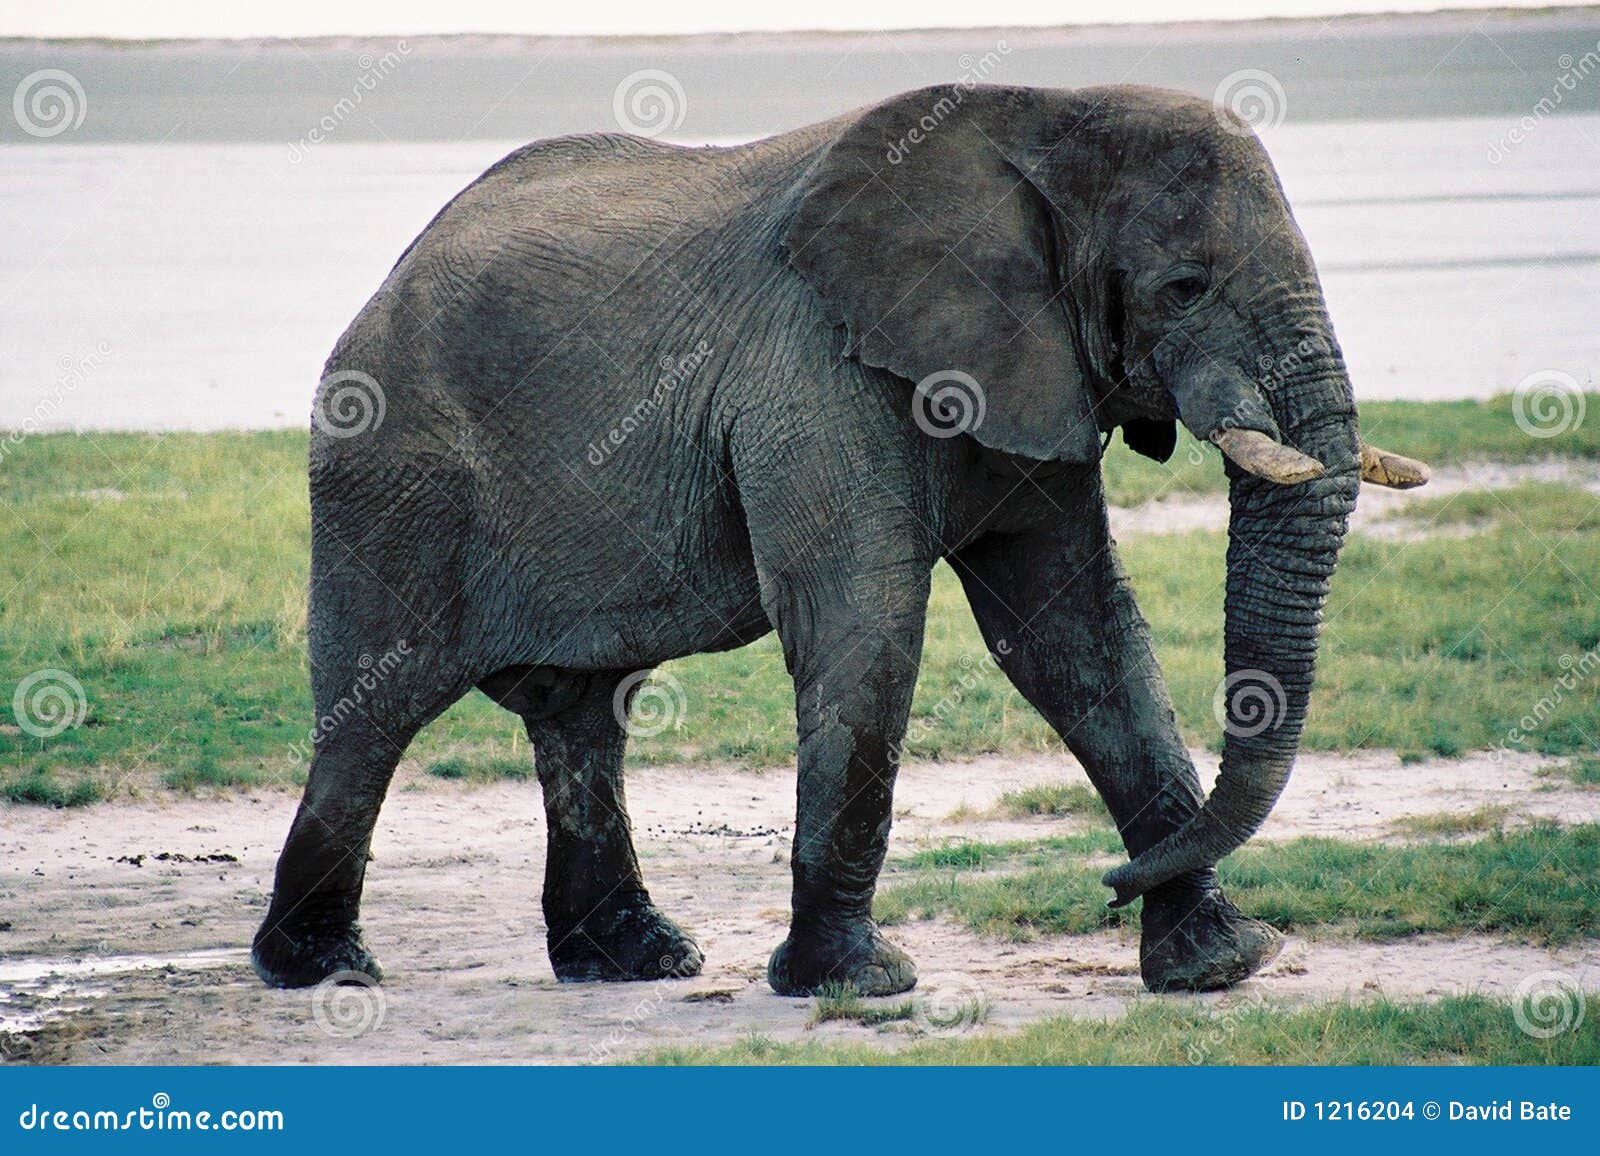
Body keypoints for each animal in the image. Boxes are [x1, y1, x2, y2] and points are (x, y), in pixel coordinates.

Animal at [252, 83, 1430, 997]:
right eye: (1182, 288)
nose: (1101, 883)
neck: (1037, 111)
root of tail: (385, 284)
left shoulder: (1027, 370)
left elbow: (1079, 638)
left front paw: (1221, 963)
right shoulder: (816, 370)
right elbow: (863, 623)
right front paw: (860, 983)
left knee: (583, 718)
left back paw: (636, 961)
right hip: (392, 475)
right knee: (376, 706)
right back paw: (322, 970)